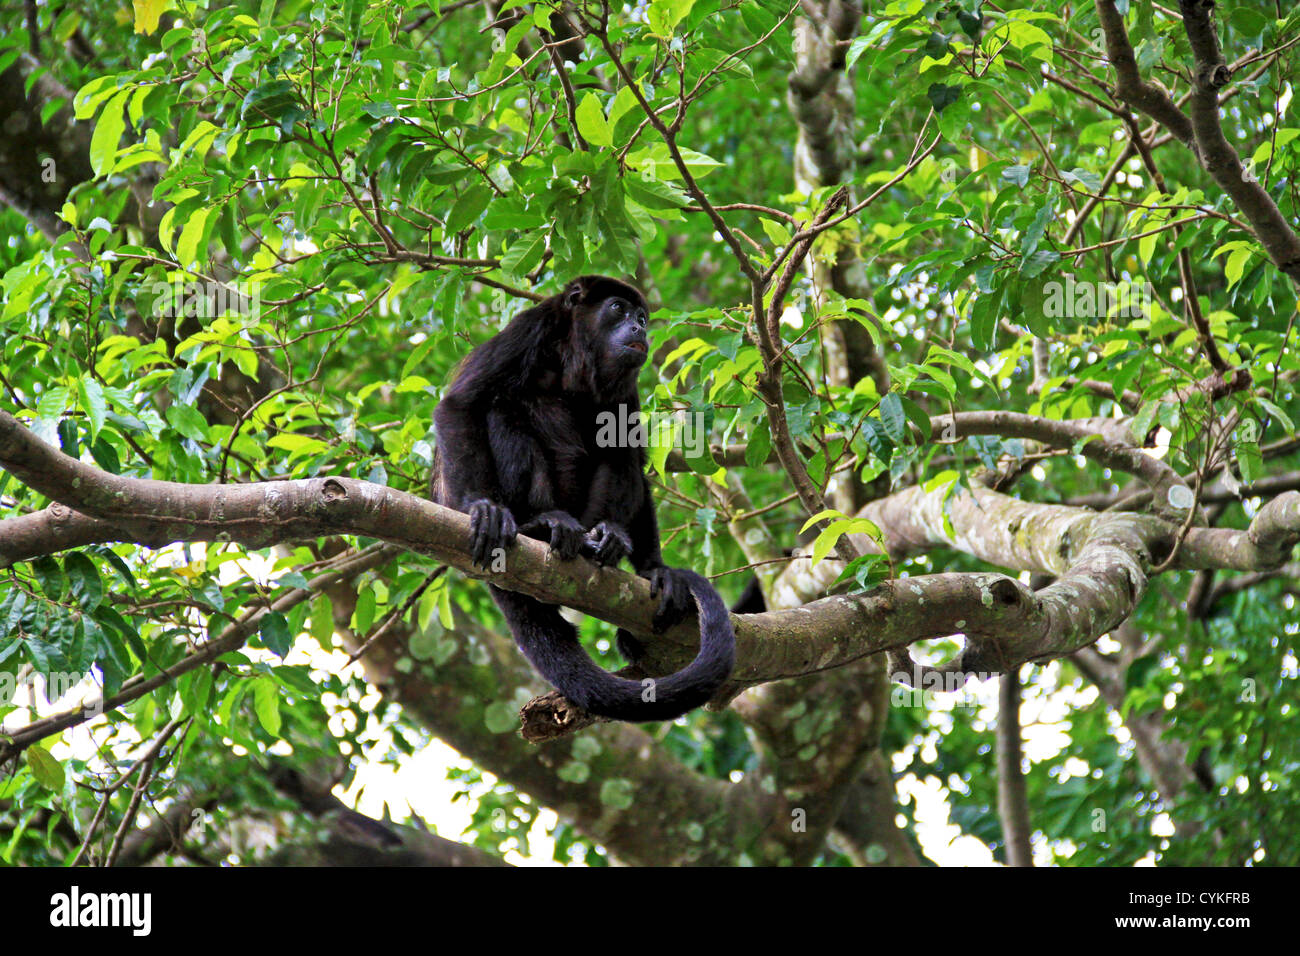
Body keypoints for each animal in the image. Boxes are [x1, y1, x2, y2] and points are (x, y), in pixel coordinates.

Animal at [431, 275, 735, 721]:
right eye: (617, 309)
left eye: (642, 316)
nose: (639, 327)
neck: (576, 358)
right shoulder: (531, 329)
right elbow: (462, 404)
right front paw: (480, 507)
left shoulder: (628, 385)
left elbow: (633, 455)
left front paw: (654, 569)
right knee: (503, 408)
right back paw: (541, 525)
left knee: (617, 447)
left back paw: (605, 539)